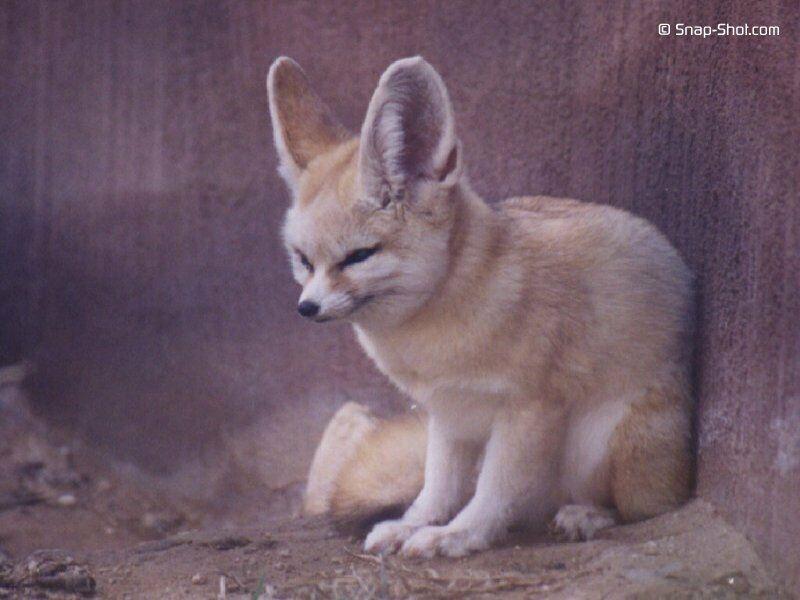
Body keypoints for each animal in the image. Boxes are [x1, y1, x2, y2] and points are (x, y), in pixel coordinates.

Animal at [267, 55, 694, 558]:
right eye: (303, 260)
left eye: (358, 256)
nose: (307, 308)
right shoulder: (448, 413)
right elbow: (438, 486)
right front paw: (414, 525)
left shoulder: (528, 410)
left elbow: (492, 491)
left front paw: (457, 535)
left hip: (602, 441)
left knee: (643, 507)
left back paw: (588, 514)